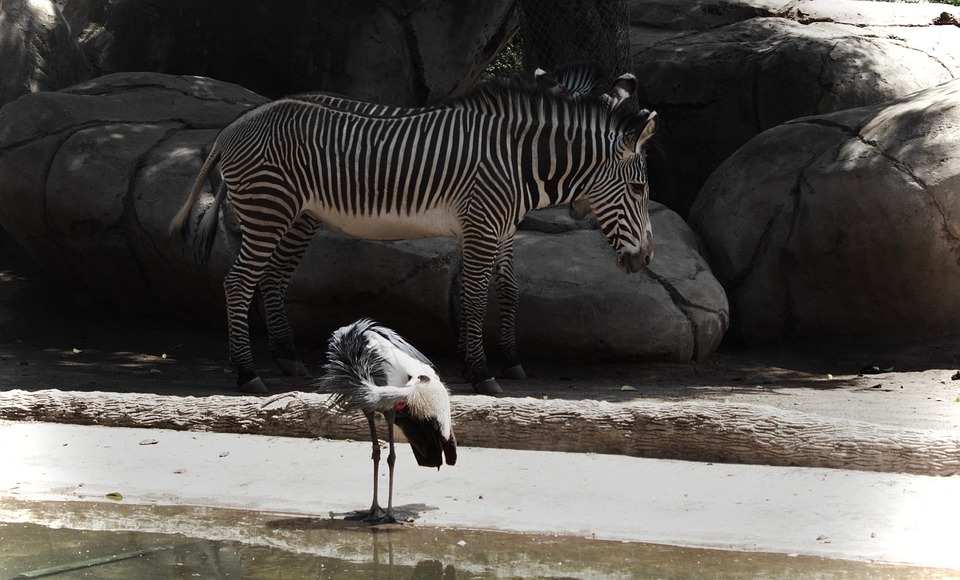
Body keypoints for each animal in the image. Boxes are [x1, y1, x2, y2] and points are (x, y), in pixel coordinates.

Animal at [170, 76, 657, 396]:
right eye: (639, 189)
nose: (645, 260)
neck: (518, 163)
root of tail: (234, 127)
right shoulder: (483, 223)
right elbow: (475, 296)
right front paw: (482, 373)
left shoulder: (498, 227)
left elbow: (506, 290)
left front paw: (503, 361)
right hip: (269, 208)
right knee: (239, 283)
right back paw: (247, 373)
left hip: (295, 215)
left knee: (270, 279)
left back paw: (288, 359)